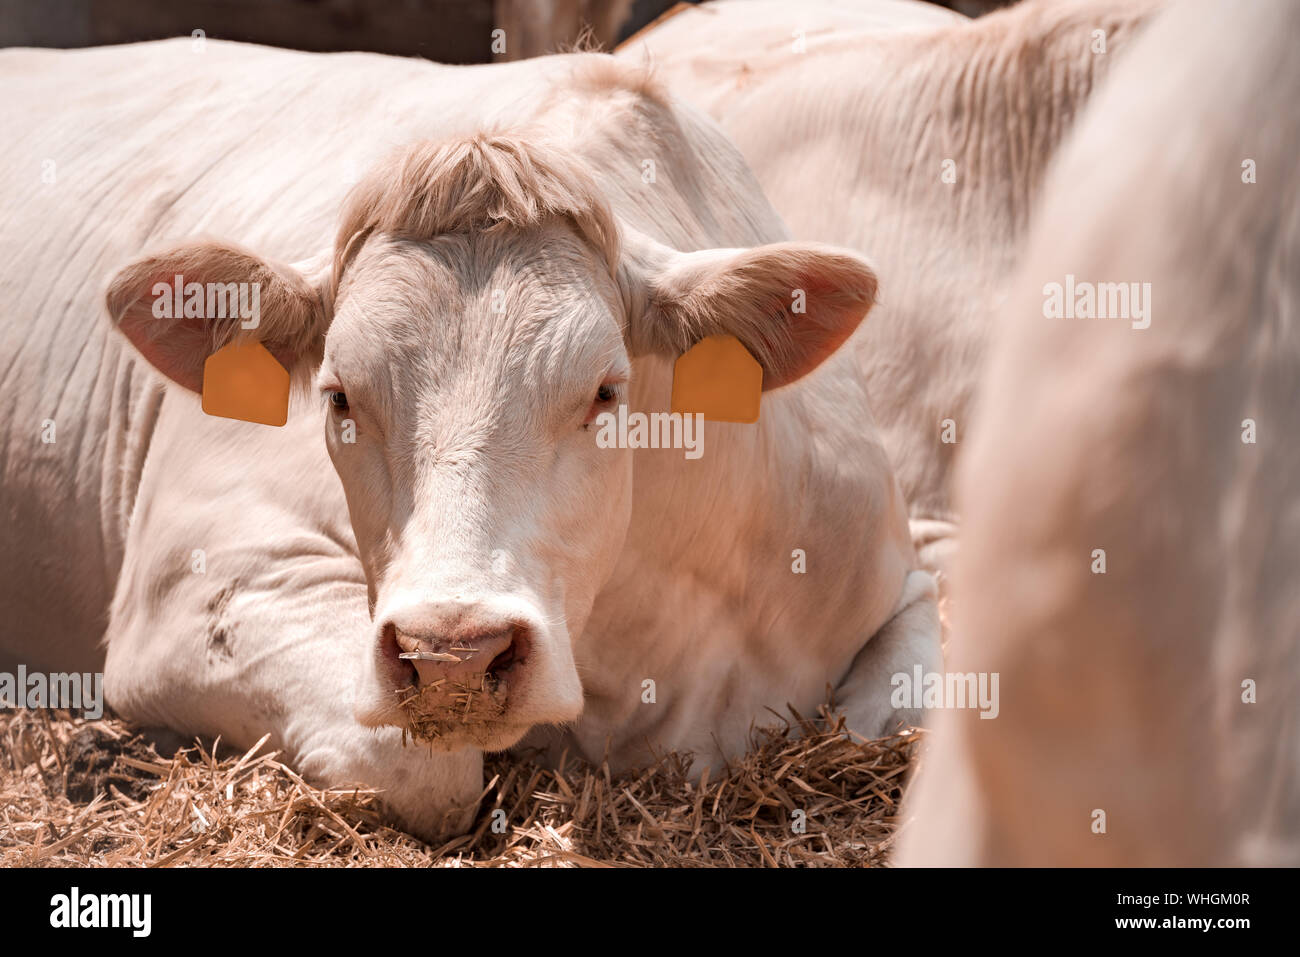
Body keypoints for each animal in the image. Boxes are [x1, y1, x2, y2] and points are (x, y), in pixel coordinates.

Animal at [0, 41, 940, 839]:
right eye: (338, 398)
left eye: (605, 392)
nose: (452, 655)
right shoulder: (191, 588)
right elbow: (426, 768)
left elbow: (899, 708)